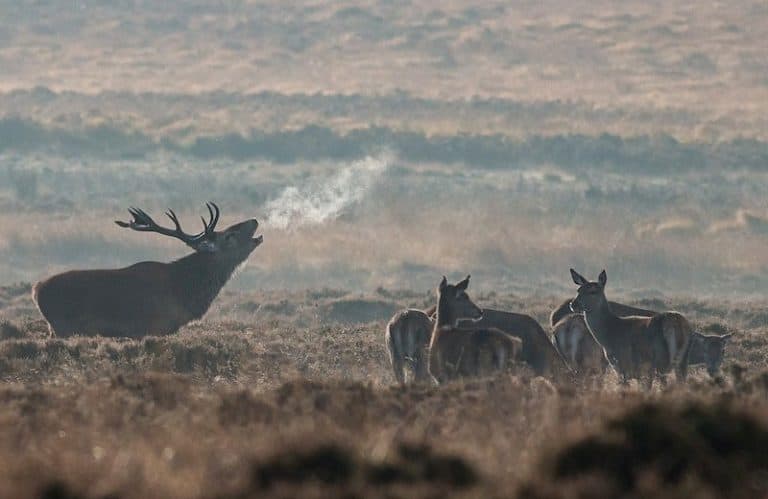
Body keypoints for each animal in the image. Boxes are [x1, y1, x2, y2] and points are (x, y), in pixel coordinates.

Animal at [33, 203, 263, 338]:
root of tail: (36, 290)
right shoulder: (152, 327)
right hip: (62, 327)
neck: (183, 293)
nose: (254, 220)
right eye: (230, 236)